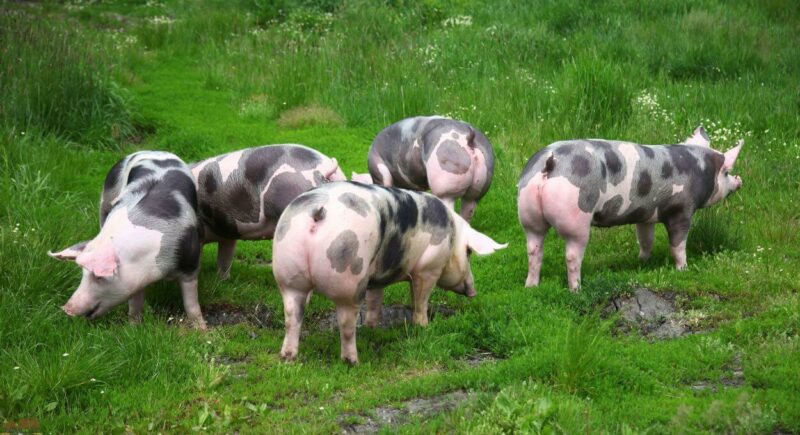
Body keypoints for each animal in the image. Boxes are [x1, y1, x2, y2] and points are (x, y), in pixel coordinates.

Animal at [49, 151, 206, 328]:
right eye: (83, 273)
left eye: (99, 277)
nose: (66, 309)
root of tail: (151, 151)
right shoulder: (136, 278)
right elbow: (135, 305)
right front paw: (133, 327)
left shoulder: (190, 263)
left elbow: (191, 304)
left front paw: (202, 329)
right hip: (105, 200)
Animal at [272, 181, 507, 363]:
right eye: (469, 253)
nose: (473, 292)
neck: (452, 234)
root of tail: (318, 211)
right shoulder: (428, 268)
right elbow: (421, 299)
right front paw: (424, 326)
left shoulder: (376, 277)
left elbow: (377, 299)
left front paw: (372, 327)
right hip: (349, 279)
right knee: (346, 324)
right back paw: (352, 361)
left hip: (288, 275)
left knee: (292, 316)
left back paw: (288, 357)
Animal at [518, 127, 743, 291]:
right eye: (726, 172)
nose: (739, 180)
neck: (698, 168)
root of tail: (550, 163)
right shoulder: (682, 209)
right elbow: (678, 243)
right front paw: (683, 270)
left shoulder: (645, 214)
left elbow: (645, 239)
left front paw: (642, 261)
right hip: (576, 218)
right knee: (572, 255)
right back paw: (577, 289)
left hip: (528, 215)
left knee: (533, 249)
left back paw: (531, 287)